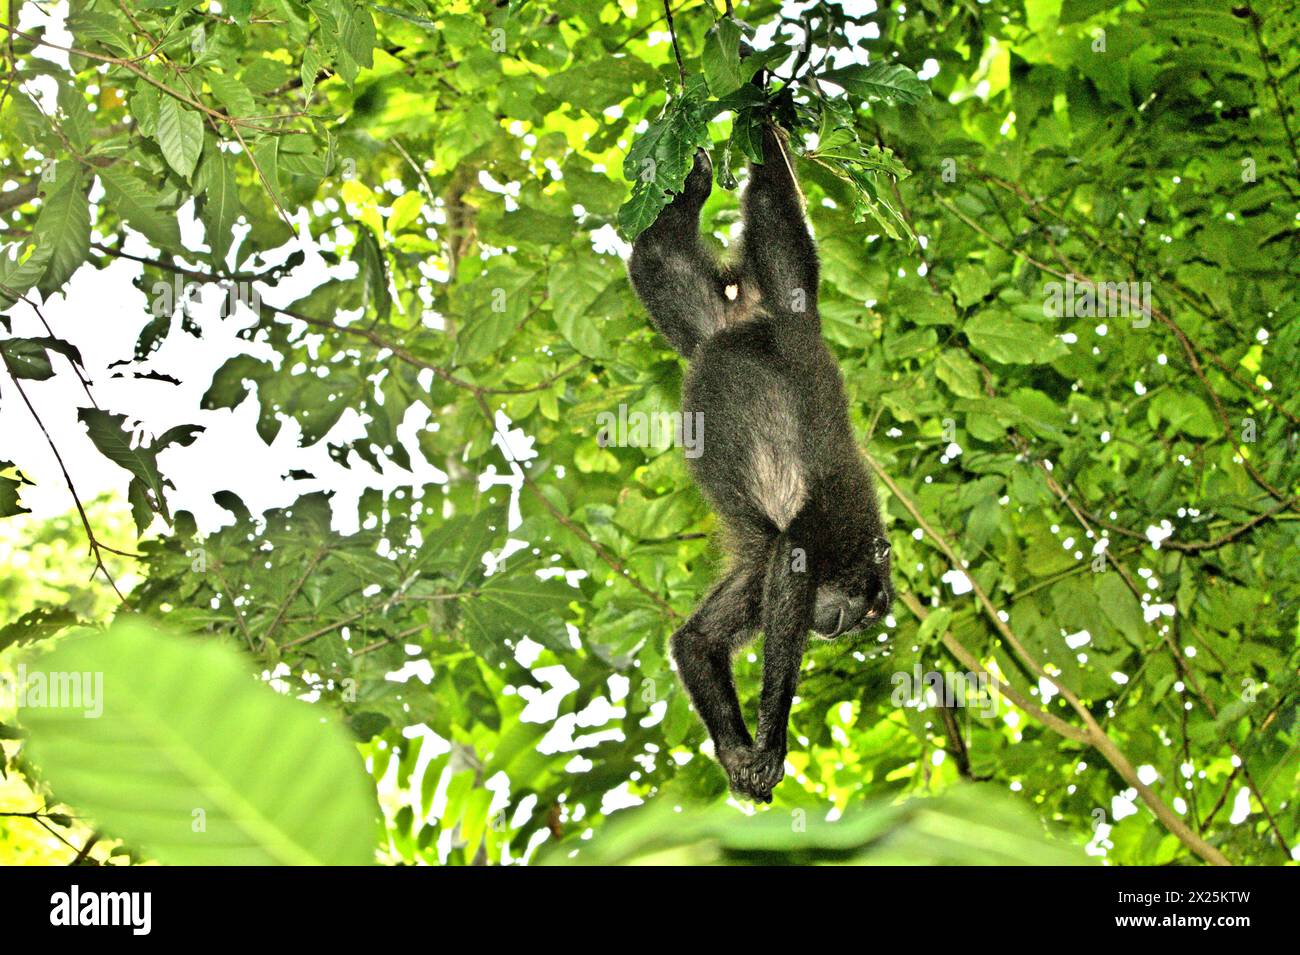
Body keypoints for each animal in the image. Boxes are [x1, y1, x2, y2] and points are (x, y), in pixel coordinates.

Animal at [627, 124, 894, 803]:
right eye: (865, 609)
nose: (838, 628)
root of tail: (753, 315)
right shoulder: (835, 522)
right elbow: (795, 563)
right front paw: (772, 739)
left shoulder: (755, 576)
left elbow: (696, 641)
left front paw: (735, 754)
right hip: (792, 292)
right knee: (779, 213)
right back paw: (766, 114)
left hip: (698, 318)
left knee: (654, 263)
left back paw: (684, 197)